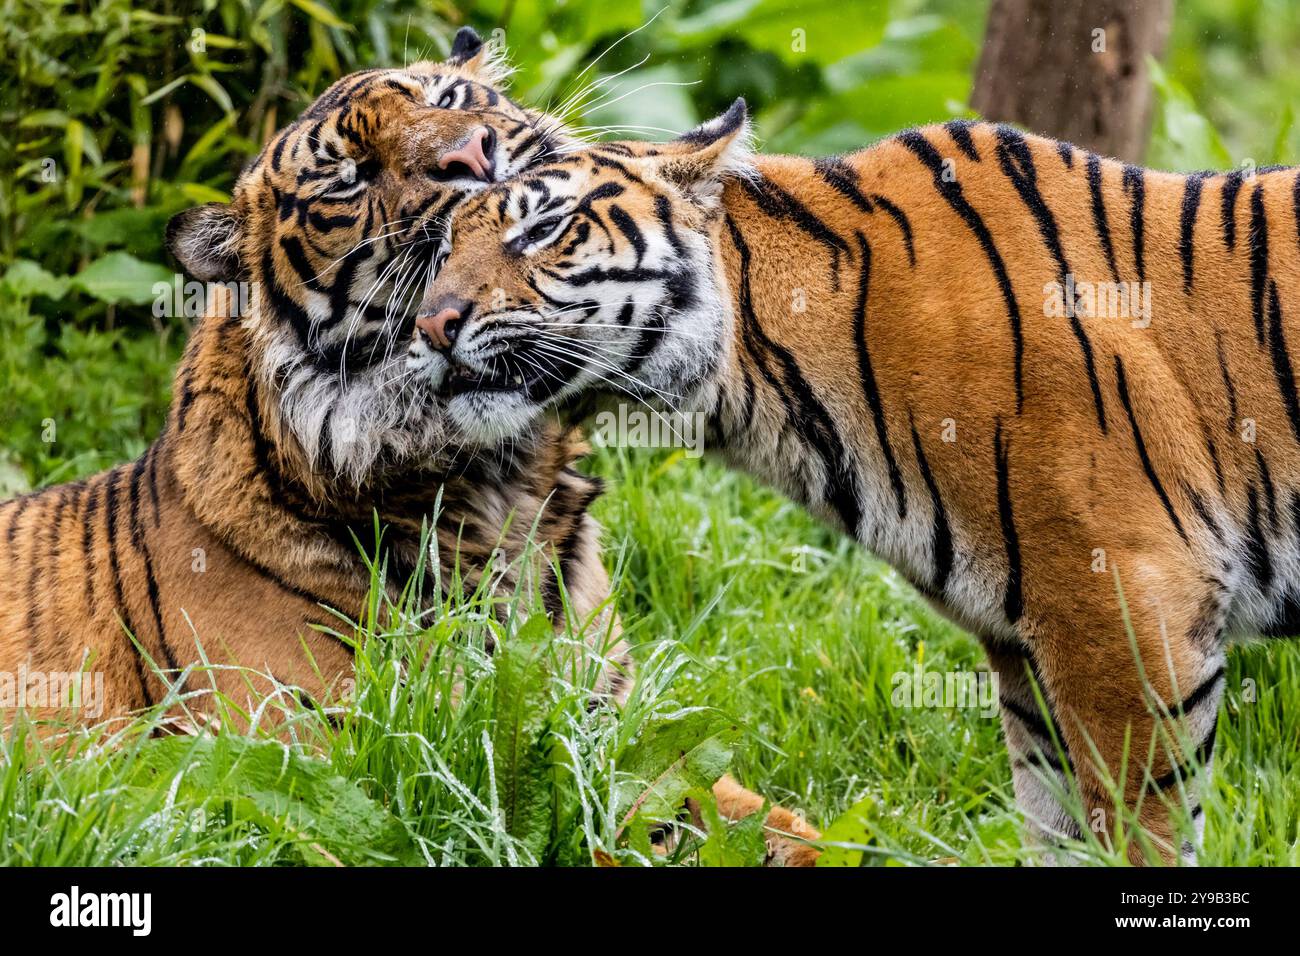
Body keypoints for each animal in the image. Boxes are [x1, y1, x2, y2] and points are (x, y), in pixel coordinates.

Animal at [1, 36, 815, 865]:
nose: (470, 154)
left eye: (449, 100)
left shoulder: (619, 724)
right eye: (349, 177)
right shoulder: (315, 767)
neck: (502, 480)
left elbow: (754, 812)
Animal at [410, 98, 1300, 865]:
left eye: (543, 229)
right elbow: (1057, 824)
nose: (430, 323)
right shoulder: (1027, 649)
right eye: (443, 249)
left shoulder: (1126, 610)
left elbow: (1139, 827)